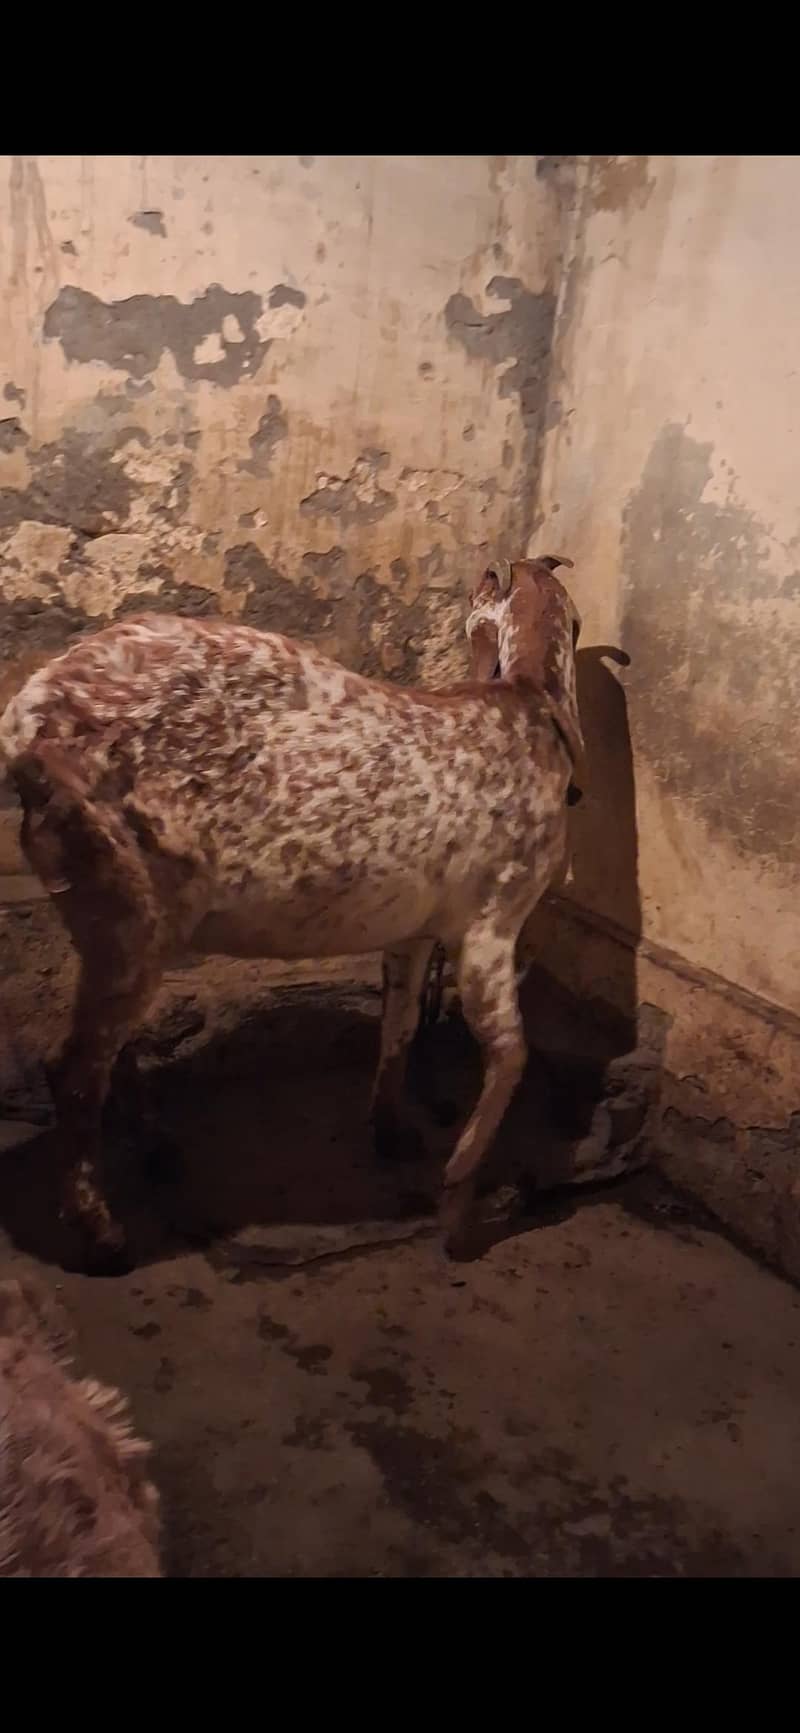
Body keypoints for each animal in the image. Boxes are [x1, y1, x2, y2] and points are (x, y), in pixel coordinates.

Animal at [0, 554, 584, 1271]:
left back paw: (159, 1153)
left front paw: (391, 1131)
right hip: (128, 913)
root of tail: (26, 725)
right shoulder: (492, 922)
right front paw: (457, 1208)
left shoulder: (415, 931)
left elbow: (400, 1025)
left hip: (121, 930)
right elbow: (510, 1056)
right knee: (75, 1070)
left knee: (112, 1053)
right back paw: (104, 1234)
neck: (529, 710)